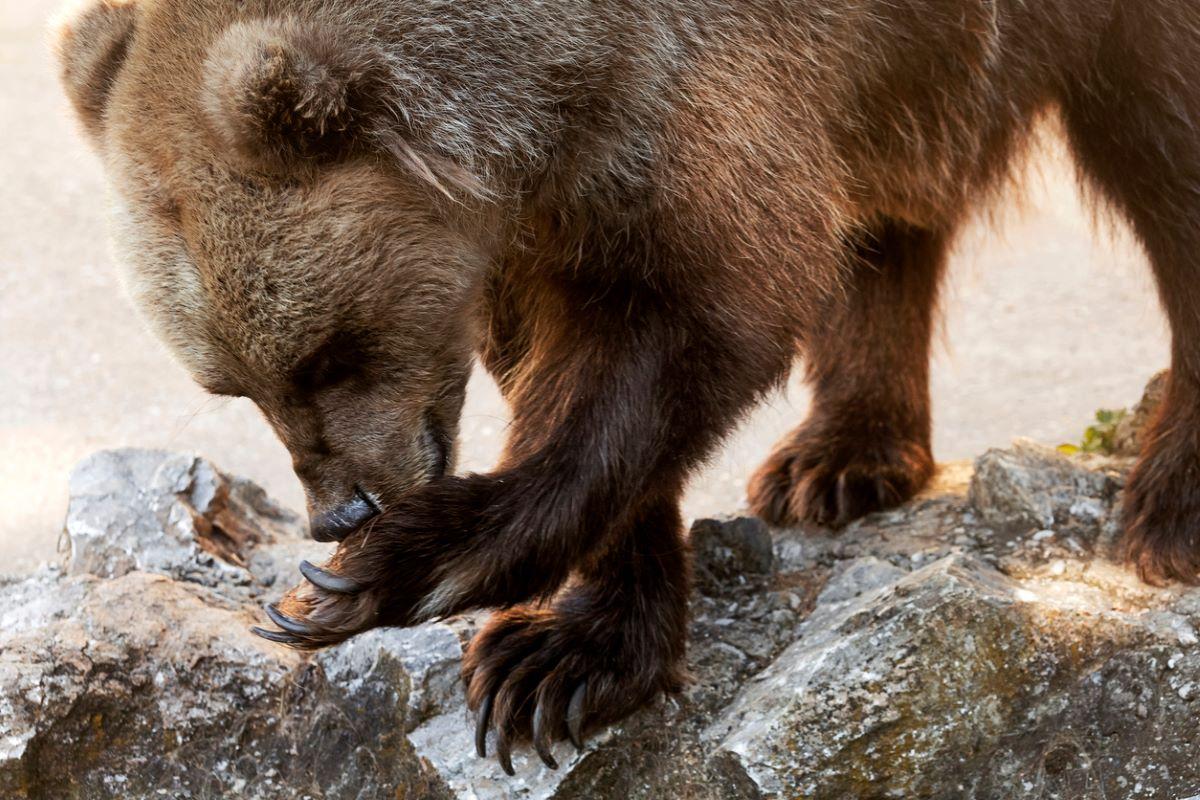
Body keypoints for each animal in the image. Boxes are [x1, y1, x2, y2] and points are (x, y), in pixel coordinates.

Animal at [58, 0, 1200, 775]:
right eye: (231, 384)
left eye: (328, 353)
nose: (342, 510)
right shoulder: (556, 200)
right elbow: (562, 358)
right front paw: (572, 653)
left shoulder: (695, 95)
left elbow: (692, 319)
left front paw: (402, 571)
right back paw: (839, 453)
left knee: (1165, 149)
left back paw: (1170, 503)